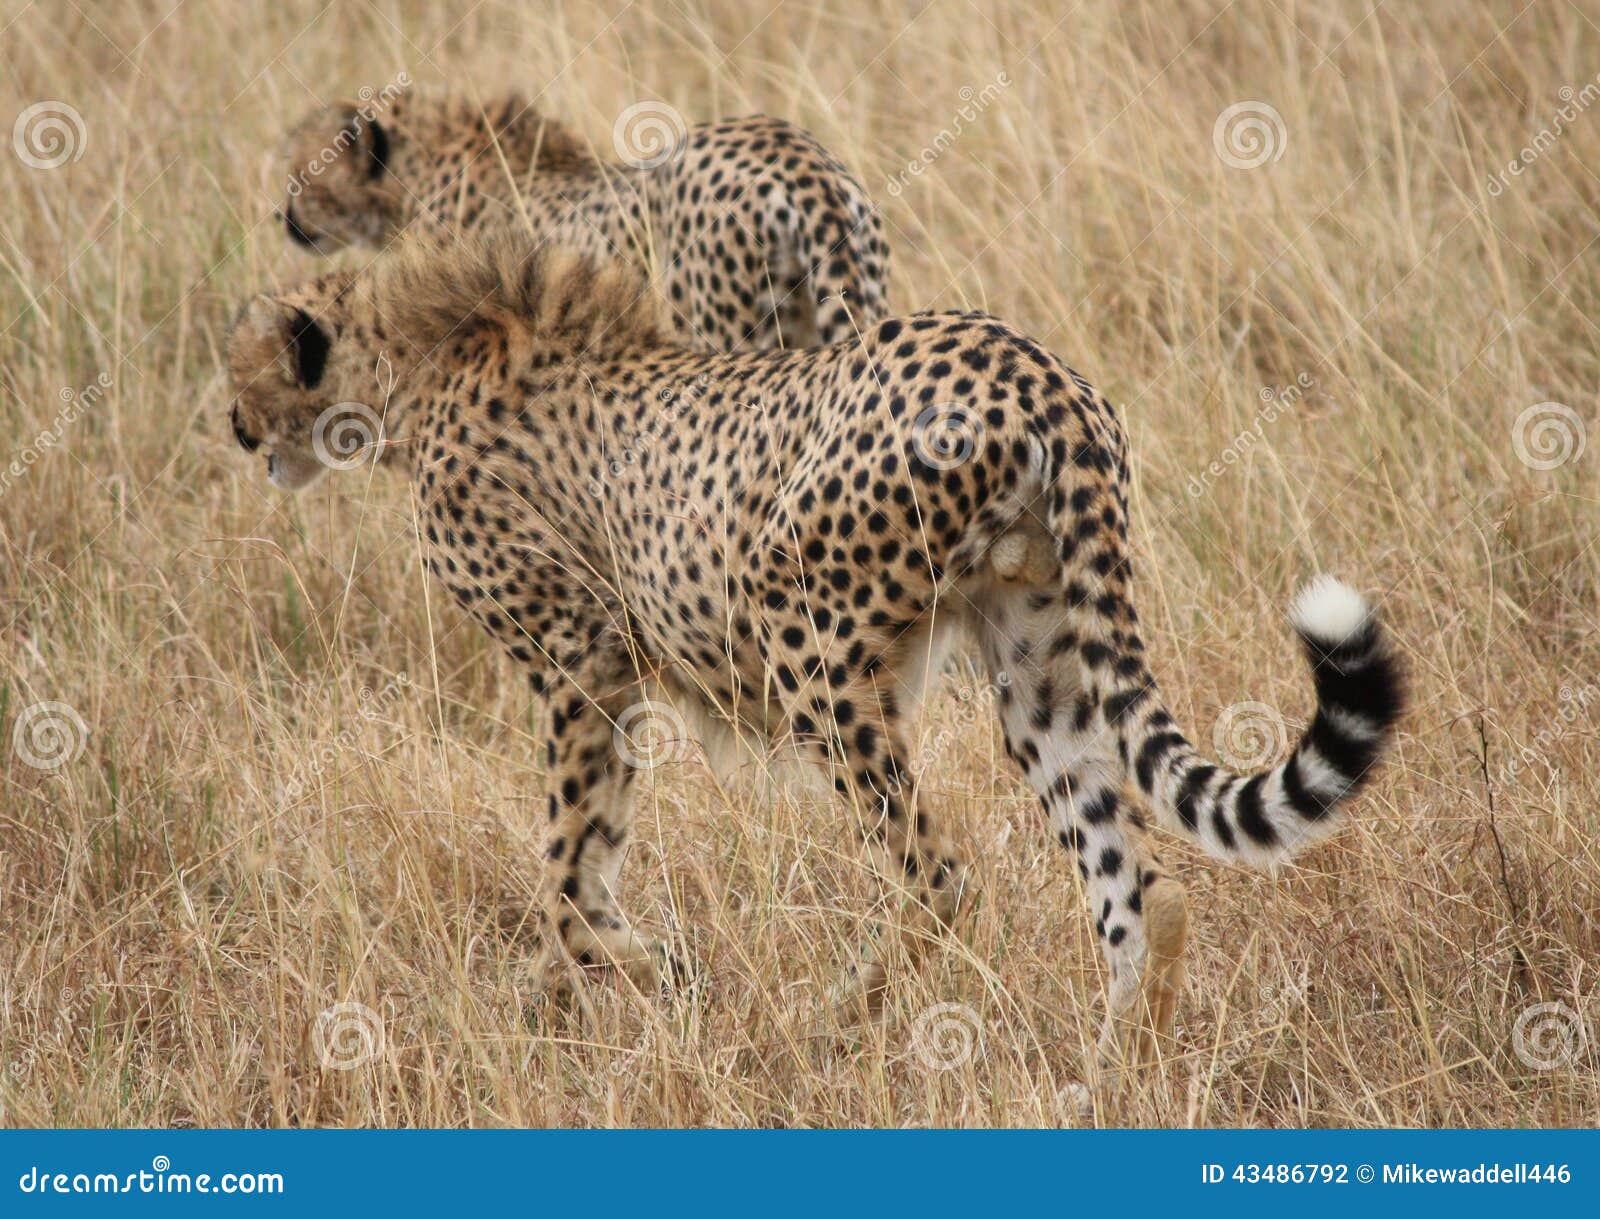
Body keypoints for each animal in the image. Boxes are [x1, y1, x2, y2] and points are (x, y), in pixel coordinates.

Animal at [226, 235, 1405, 1074]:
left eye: (240, 371)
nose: (233, 430)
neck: (417, 361)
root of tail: (1032, 369)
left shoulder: (581, 658)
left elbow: (563, 866)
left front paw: (642, 974)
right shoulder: (609, 673)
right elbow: (586, 854)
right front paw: (598, 986)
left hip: (810, 645)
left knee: (940, 872)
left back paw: (830, 1016)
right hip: (1040, 661)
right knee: (1142, 891)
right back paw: (1113, 1085)